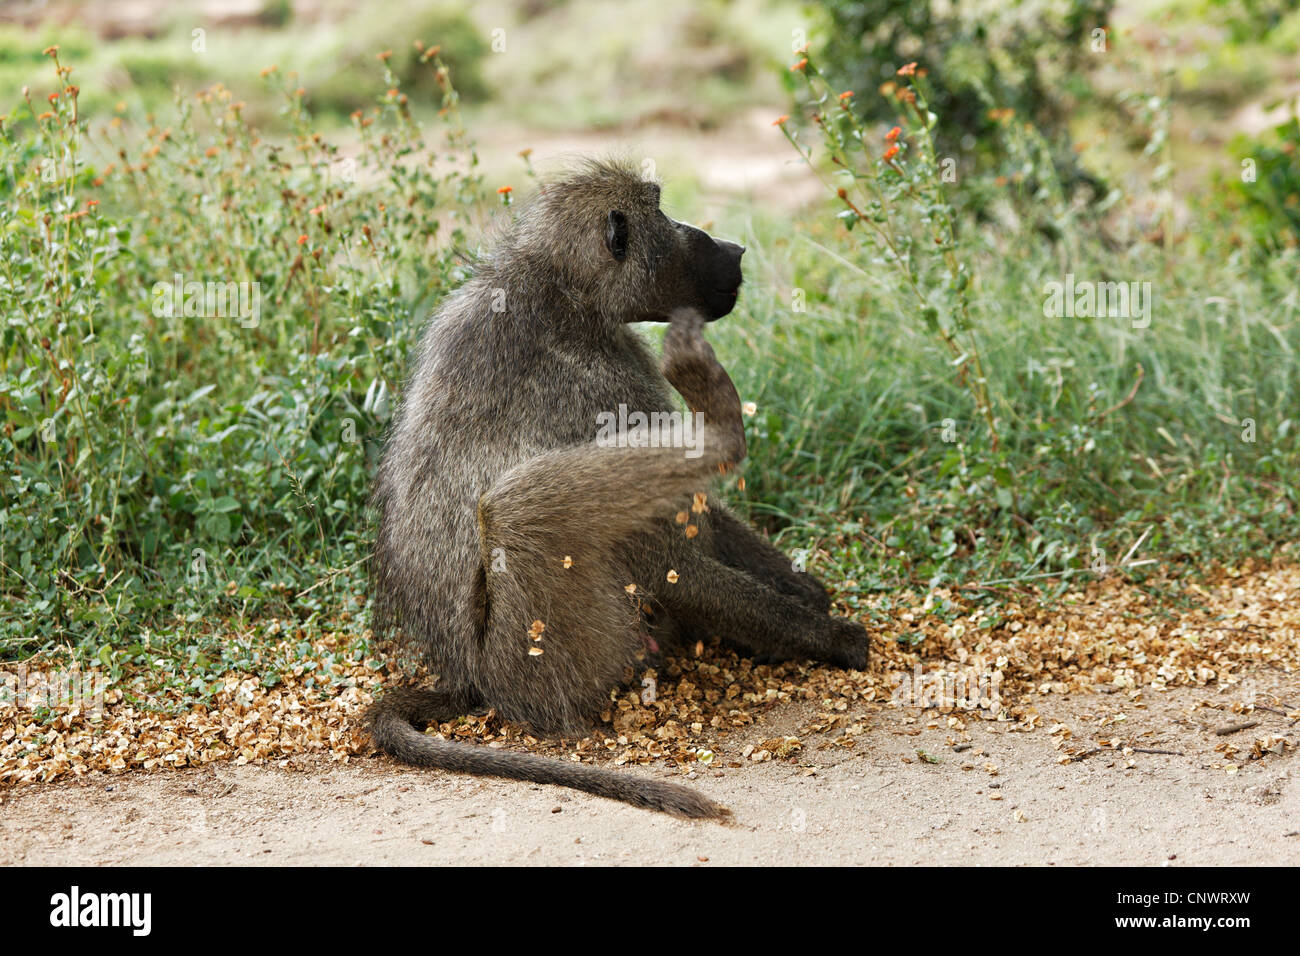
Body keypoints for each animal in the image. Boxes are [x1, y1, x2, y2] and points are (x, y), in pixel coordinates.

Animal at [364, 158, 871, 819]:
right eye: (664, 214)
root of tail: (468, 680)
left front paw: (807, 591)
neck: (568, 295)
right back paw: (719, 424)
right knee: (517, 509)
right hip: (545, 651)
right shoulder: (601, 389)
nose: (732, 248)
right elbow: (664, 558)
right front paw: (833, 637)